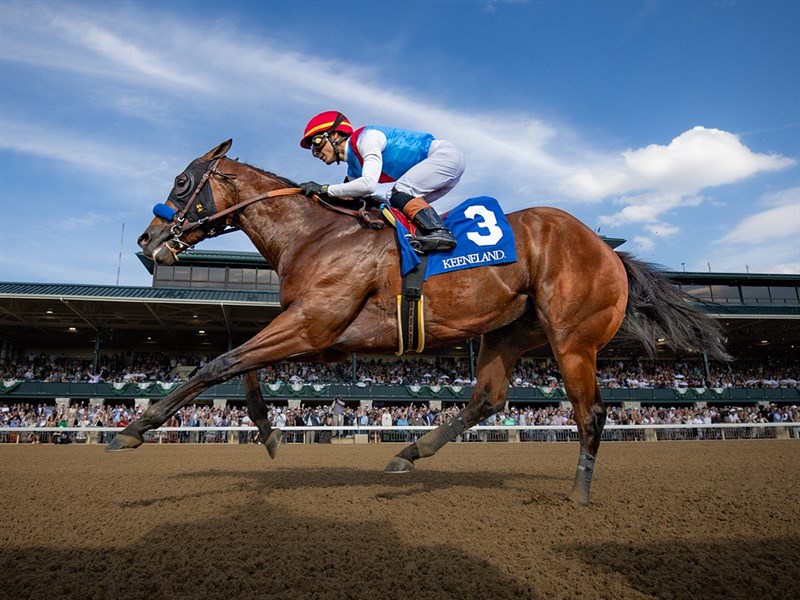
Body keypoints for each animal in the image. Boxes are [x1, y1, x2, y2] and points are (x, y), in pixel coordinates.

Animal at [113, 139, 728, 506]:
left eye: (182, 183)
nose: (147, 238)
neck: (316, 233)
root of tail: (607, 250)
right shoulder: (322, 334)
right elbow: (243, 365)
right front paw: (266, 431)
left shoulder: (314, 322)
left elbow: (217, 362)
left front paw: (136, 428)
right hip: (508, 330)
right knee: (488, 398)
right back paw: (407, 454)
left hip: (572, 338)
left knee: (591, 411)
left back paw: (579, 491)